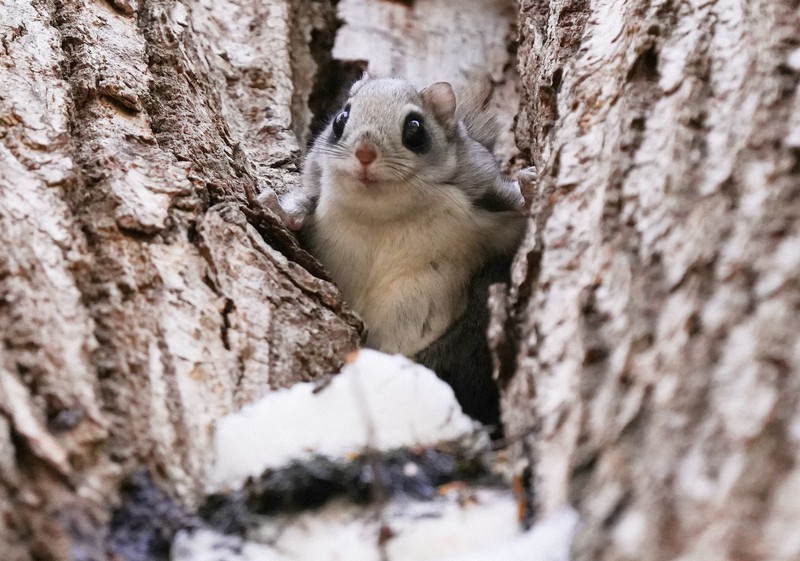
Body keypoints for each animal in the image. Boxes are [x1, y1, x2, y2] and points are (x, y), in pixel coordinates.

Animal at [272, 75, 526, 428]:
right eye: (340, 120)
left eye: (415, 129)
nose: (365, 152)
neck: (381, 214)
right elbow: (302, 203)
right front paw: (280, 210)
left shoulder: (482, 188)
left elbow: (514, 204)